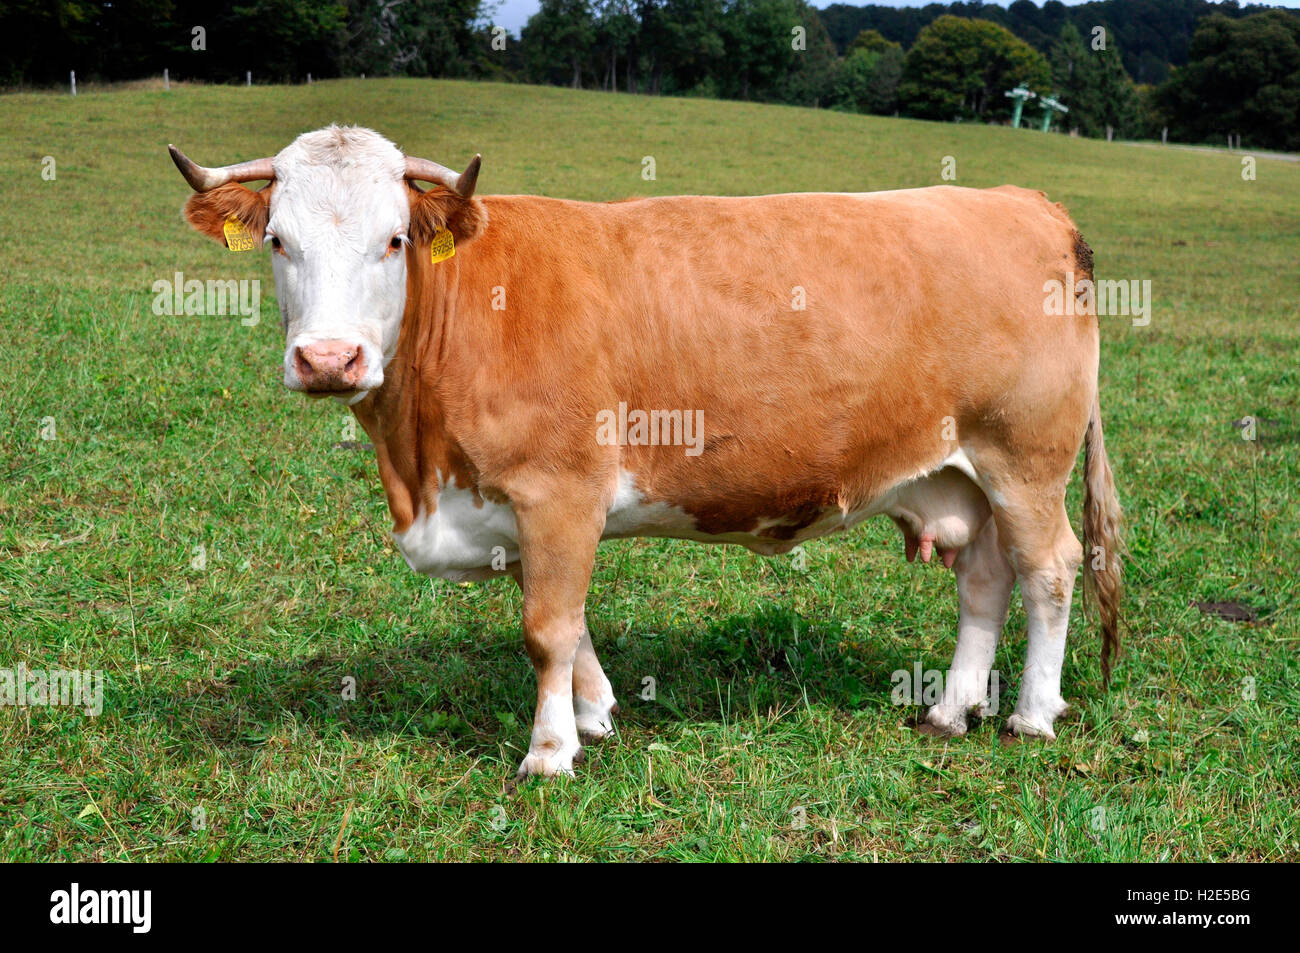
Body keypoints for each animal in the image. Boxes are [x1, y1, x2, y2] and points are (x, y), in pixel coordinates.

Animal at [169, 125, 1123, 779]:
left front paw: (550, 750)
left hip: (1027, 459)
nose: (329, 359)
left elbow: (546, 627)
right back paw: (953, 708)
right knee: (986, 579)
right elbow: (571, 622)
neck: (418, 461)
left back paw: (1032, 713)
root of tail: (1020, 200)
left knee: (1050, 569)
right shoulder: (523, 509)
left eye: (393, 239)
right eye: (279, 240)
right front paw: (594, 714)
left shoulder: (557, 491)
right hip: (963, 471)